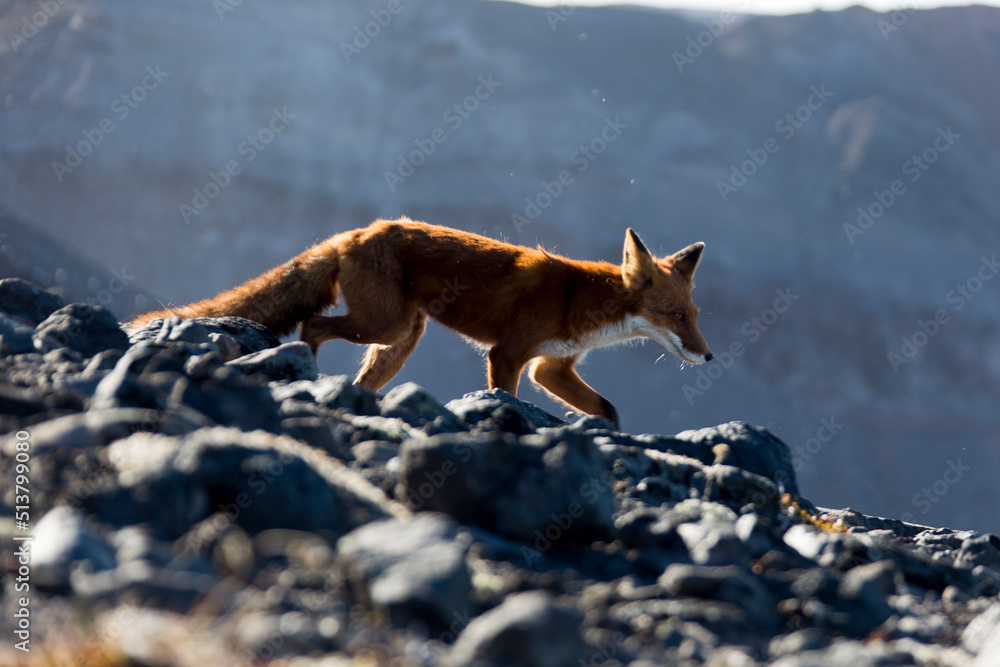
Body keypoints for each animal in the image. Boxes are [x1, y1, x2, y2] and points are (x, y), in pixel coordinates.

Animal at [131, 217, 712, 426]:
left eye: (695, 315)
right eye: (675, 316)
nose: (708, 356)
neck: (582, 303)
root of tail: (359, 230)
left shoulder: (553, 367)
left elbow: (607, 409)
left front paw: (601, 429)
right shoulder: (508, 354)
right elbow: (507, 396)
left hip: (399, 340)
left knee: (357, 371)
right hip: (383, 326)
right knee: (314, 327)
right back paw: (305, 371)